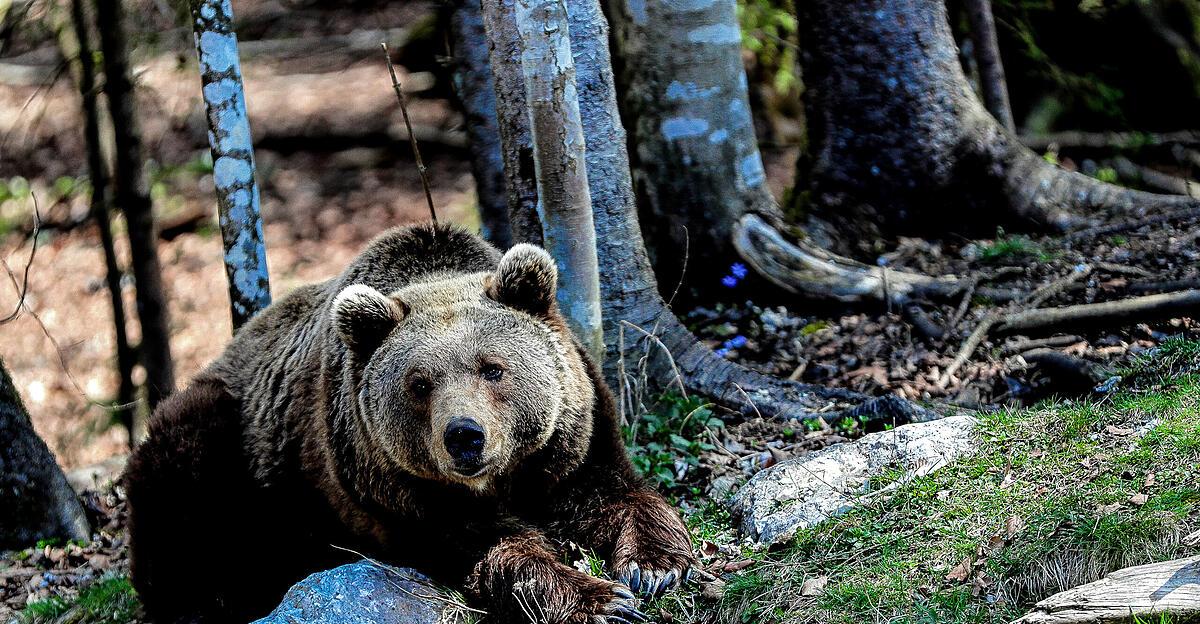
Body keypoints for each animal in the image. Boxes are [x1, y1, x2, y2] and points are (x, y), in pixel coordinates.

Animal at [125, 223, 695, 624]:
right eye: (420, 384)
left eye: (492, 368)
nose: (465, 435)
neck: (500, 482)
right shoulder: (391, 490)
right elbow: (491, 548)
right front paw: (601, 599)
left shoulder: (574, 435)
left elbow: (615, 492)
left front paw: (653, 567)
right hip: (232, 446)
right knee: (180, 507)